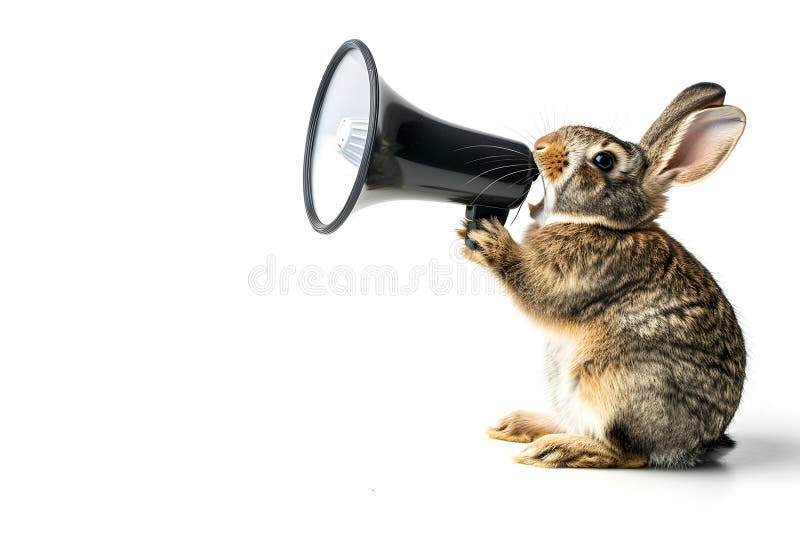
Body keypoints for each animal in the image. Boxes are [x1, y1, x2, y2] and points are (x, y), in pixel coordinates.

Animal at [458, 82, 746, 468]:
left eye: (603, 160)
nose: (542, 145)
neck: (608, 225)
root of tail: (696, 445)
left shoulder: (577, 274)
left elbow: (535, 289)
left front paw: (490, 241)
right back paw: (519, 425)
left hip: (614, 384)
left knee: (628, 453)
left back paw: (554, 449)